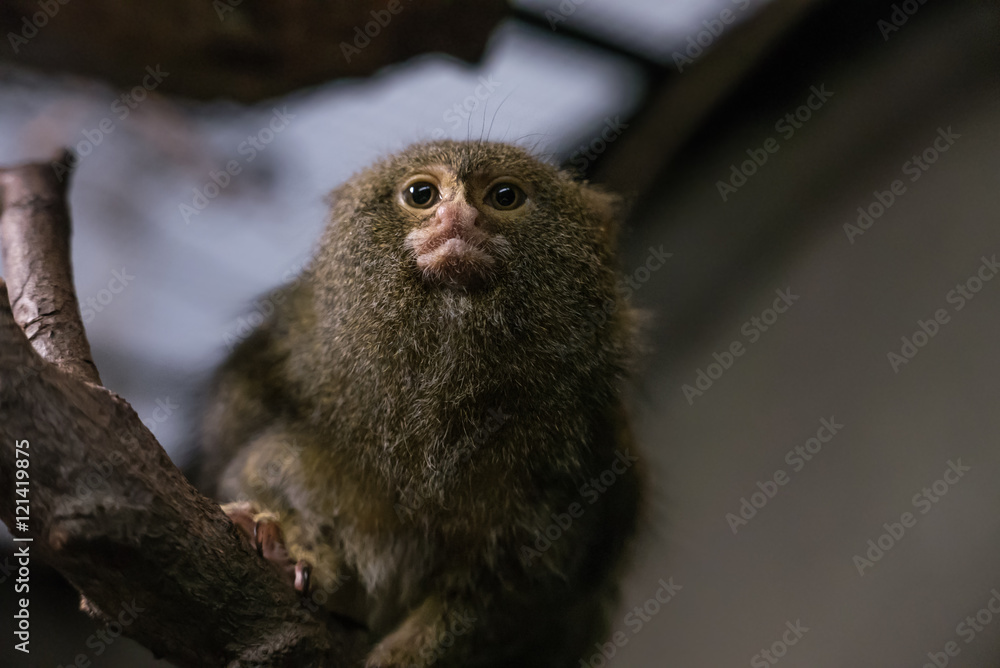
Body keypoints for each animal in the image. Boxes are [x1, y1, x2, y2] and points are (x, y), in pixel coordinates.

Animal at [200, 140, 642, 668]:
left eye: (505, 197)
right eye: (421, 194)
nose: (457, 218)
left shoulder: (581, 469)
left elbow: (513, 599)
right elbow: (260, 471)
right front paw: (285, 544)